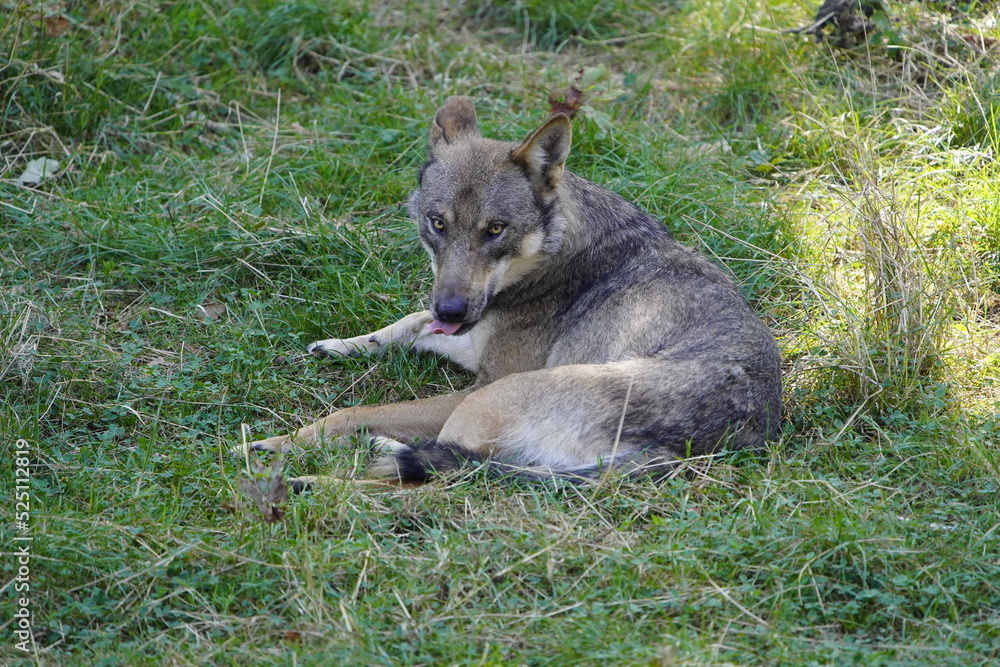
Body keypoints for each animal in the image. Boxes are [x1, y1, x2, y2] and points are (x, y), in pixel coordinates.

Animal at [249, 96, 782, 484]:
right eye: (437, 223)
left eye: (495, 230)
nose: (452, 309)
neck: (553, 256)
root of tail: (673, 452)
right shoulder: (467, 333)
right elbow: (410, 324)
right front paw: (343, 344)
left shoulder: (480, 380)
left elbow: (351, 410)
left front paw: (284, 442)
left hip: (484, 403)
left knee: (435, 473)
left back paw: (309, 481)